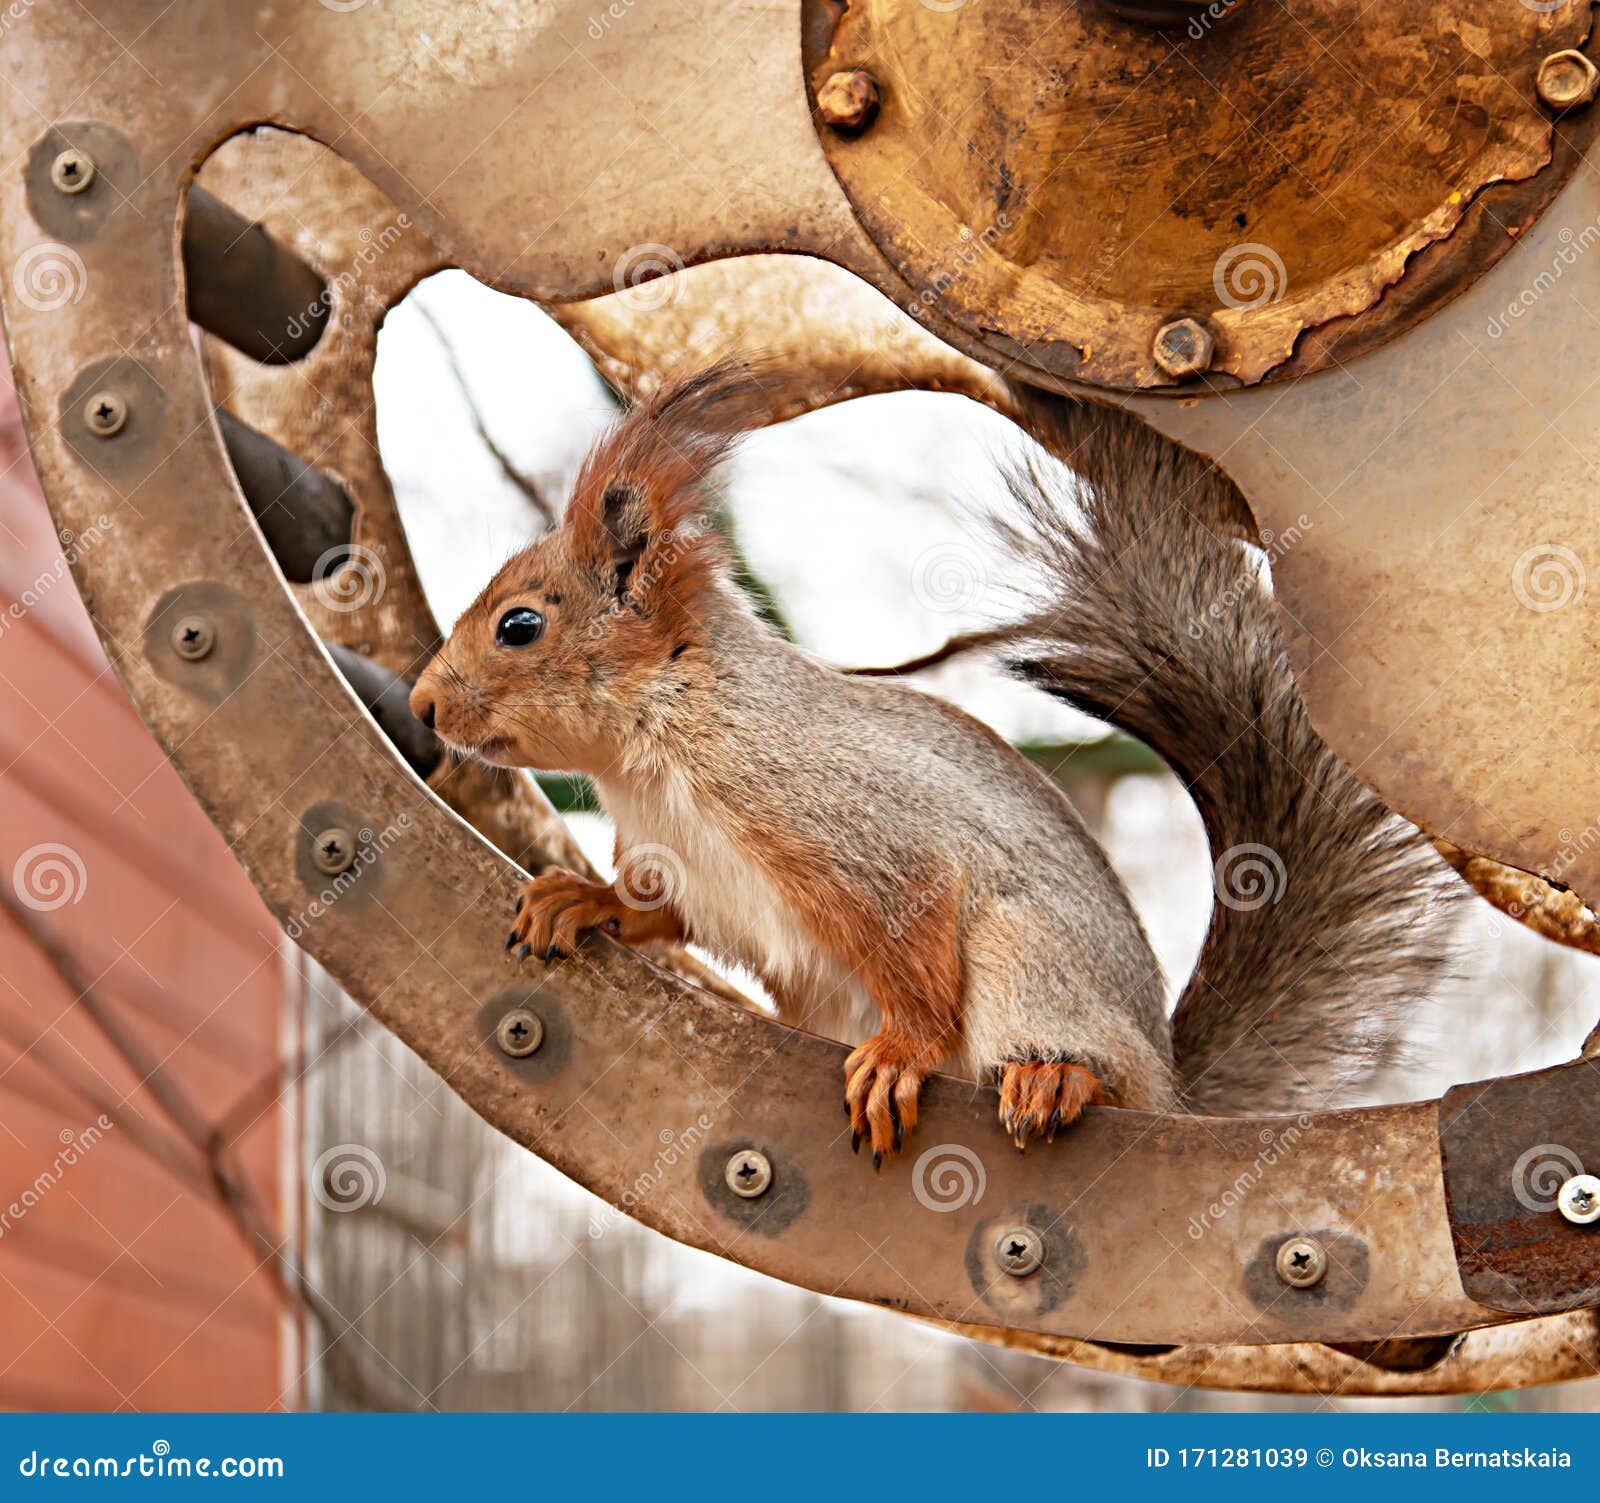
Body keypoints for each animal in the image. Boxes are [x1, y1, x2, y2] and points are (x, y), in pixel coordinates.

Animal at [409, 363, 1458, 1162]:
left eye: (519, 626)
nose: (422, 705)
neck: (654, 758)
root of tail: (1172, 1084)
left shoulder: (864, 838)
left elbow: (911, 948)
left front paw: (900, 1052)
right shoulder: (681, 868)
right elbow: (654, 911)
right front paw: (574, 898)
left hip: (1029, 954)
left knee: (1081, 1058)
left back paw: (1054, 1073)